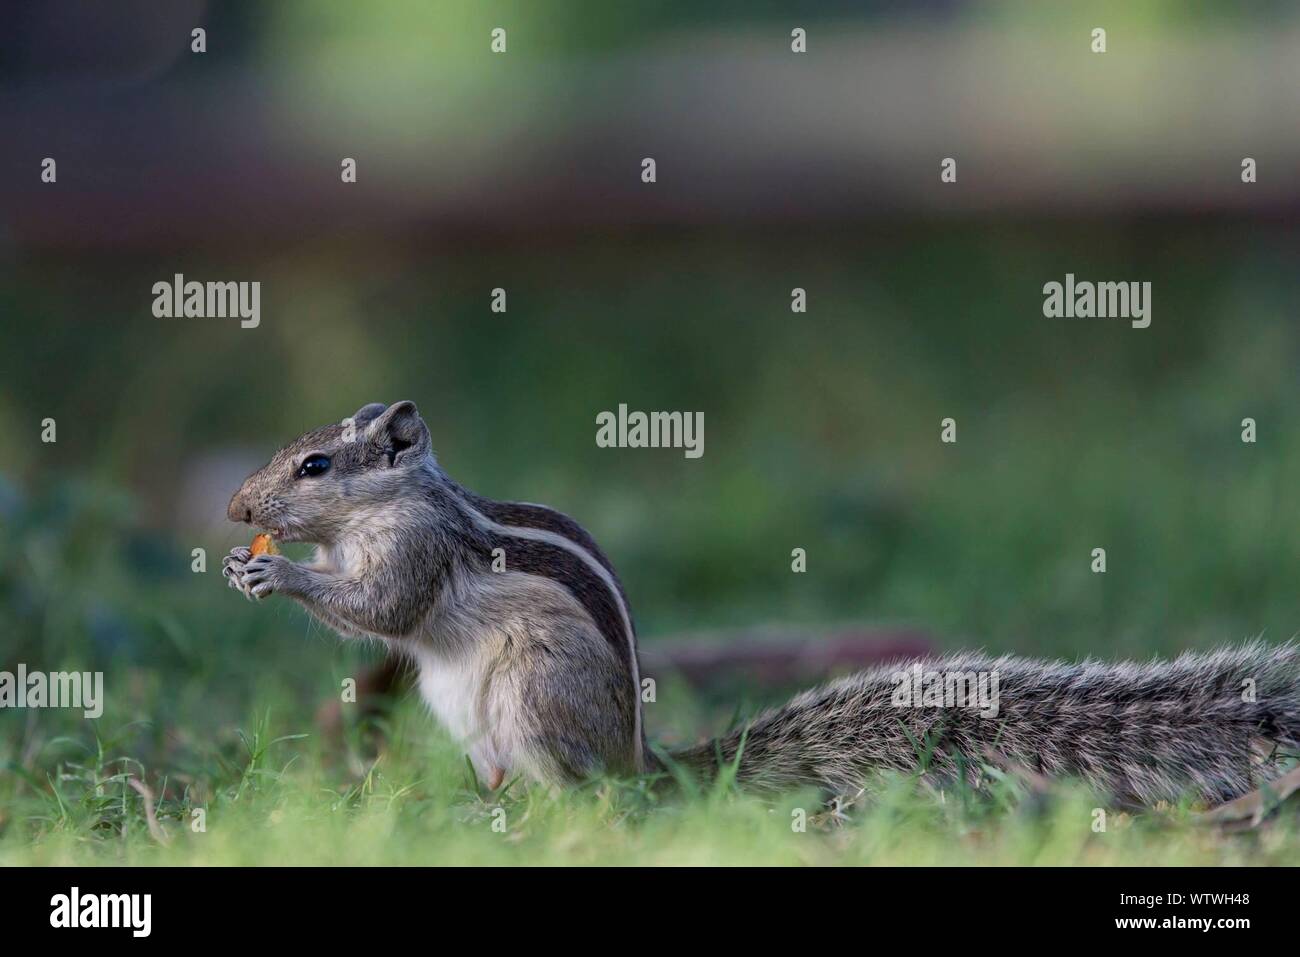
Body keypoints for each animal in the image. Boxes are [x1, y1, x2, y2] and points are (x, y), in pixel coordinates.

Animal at [223, 401, 1300, 805]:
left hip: (532, 694)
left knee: (585, 793)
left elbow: (384, 607)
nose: (236, 509)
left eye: (314, 466)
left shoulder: (414, 551)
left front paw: (281, 575)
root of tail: (642, 759)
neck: (393, 500)